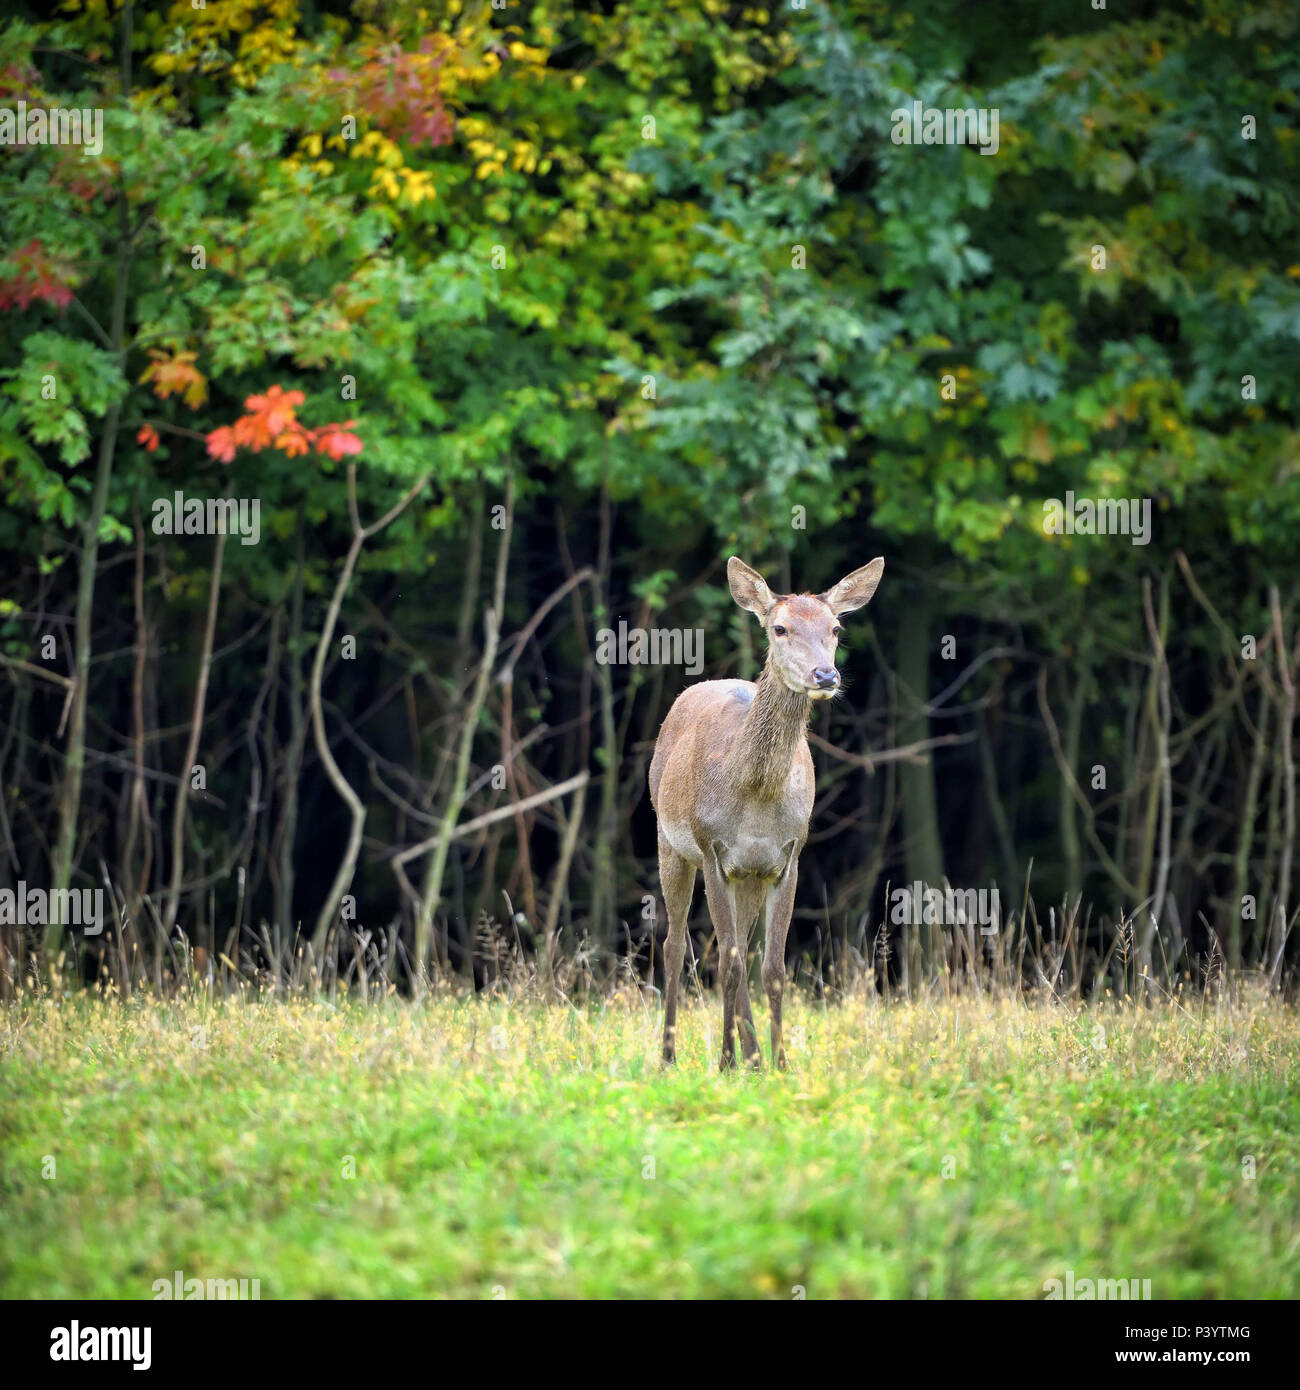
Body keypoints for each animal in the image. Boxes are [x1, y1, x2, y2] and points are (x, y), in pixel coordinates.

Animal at [649, 555, 885, 1071]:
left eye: (835, 628)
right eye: (779, 627)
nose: (825, 676)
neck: (754, 796)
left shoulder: (787, 857)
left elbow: (771, 968)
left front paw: (779, 1063)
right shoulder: (713, 850)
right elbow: (727, 963)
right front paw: (724, 1062)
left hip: (749, 876)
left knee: (737, 946)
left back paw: (753, 1057)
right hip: (669, 841)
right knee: (675, 944)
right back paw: (669, 1055)